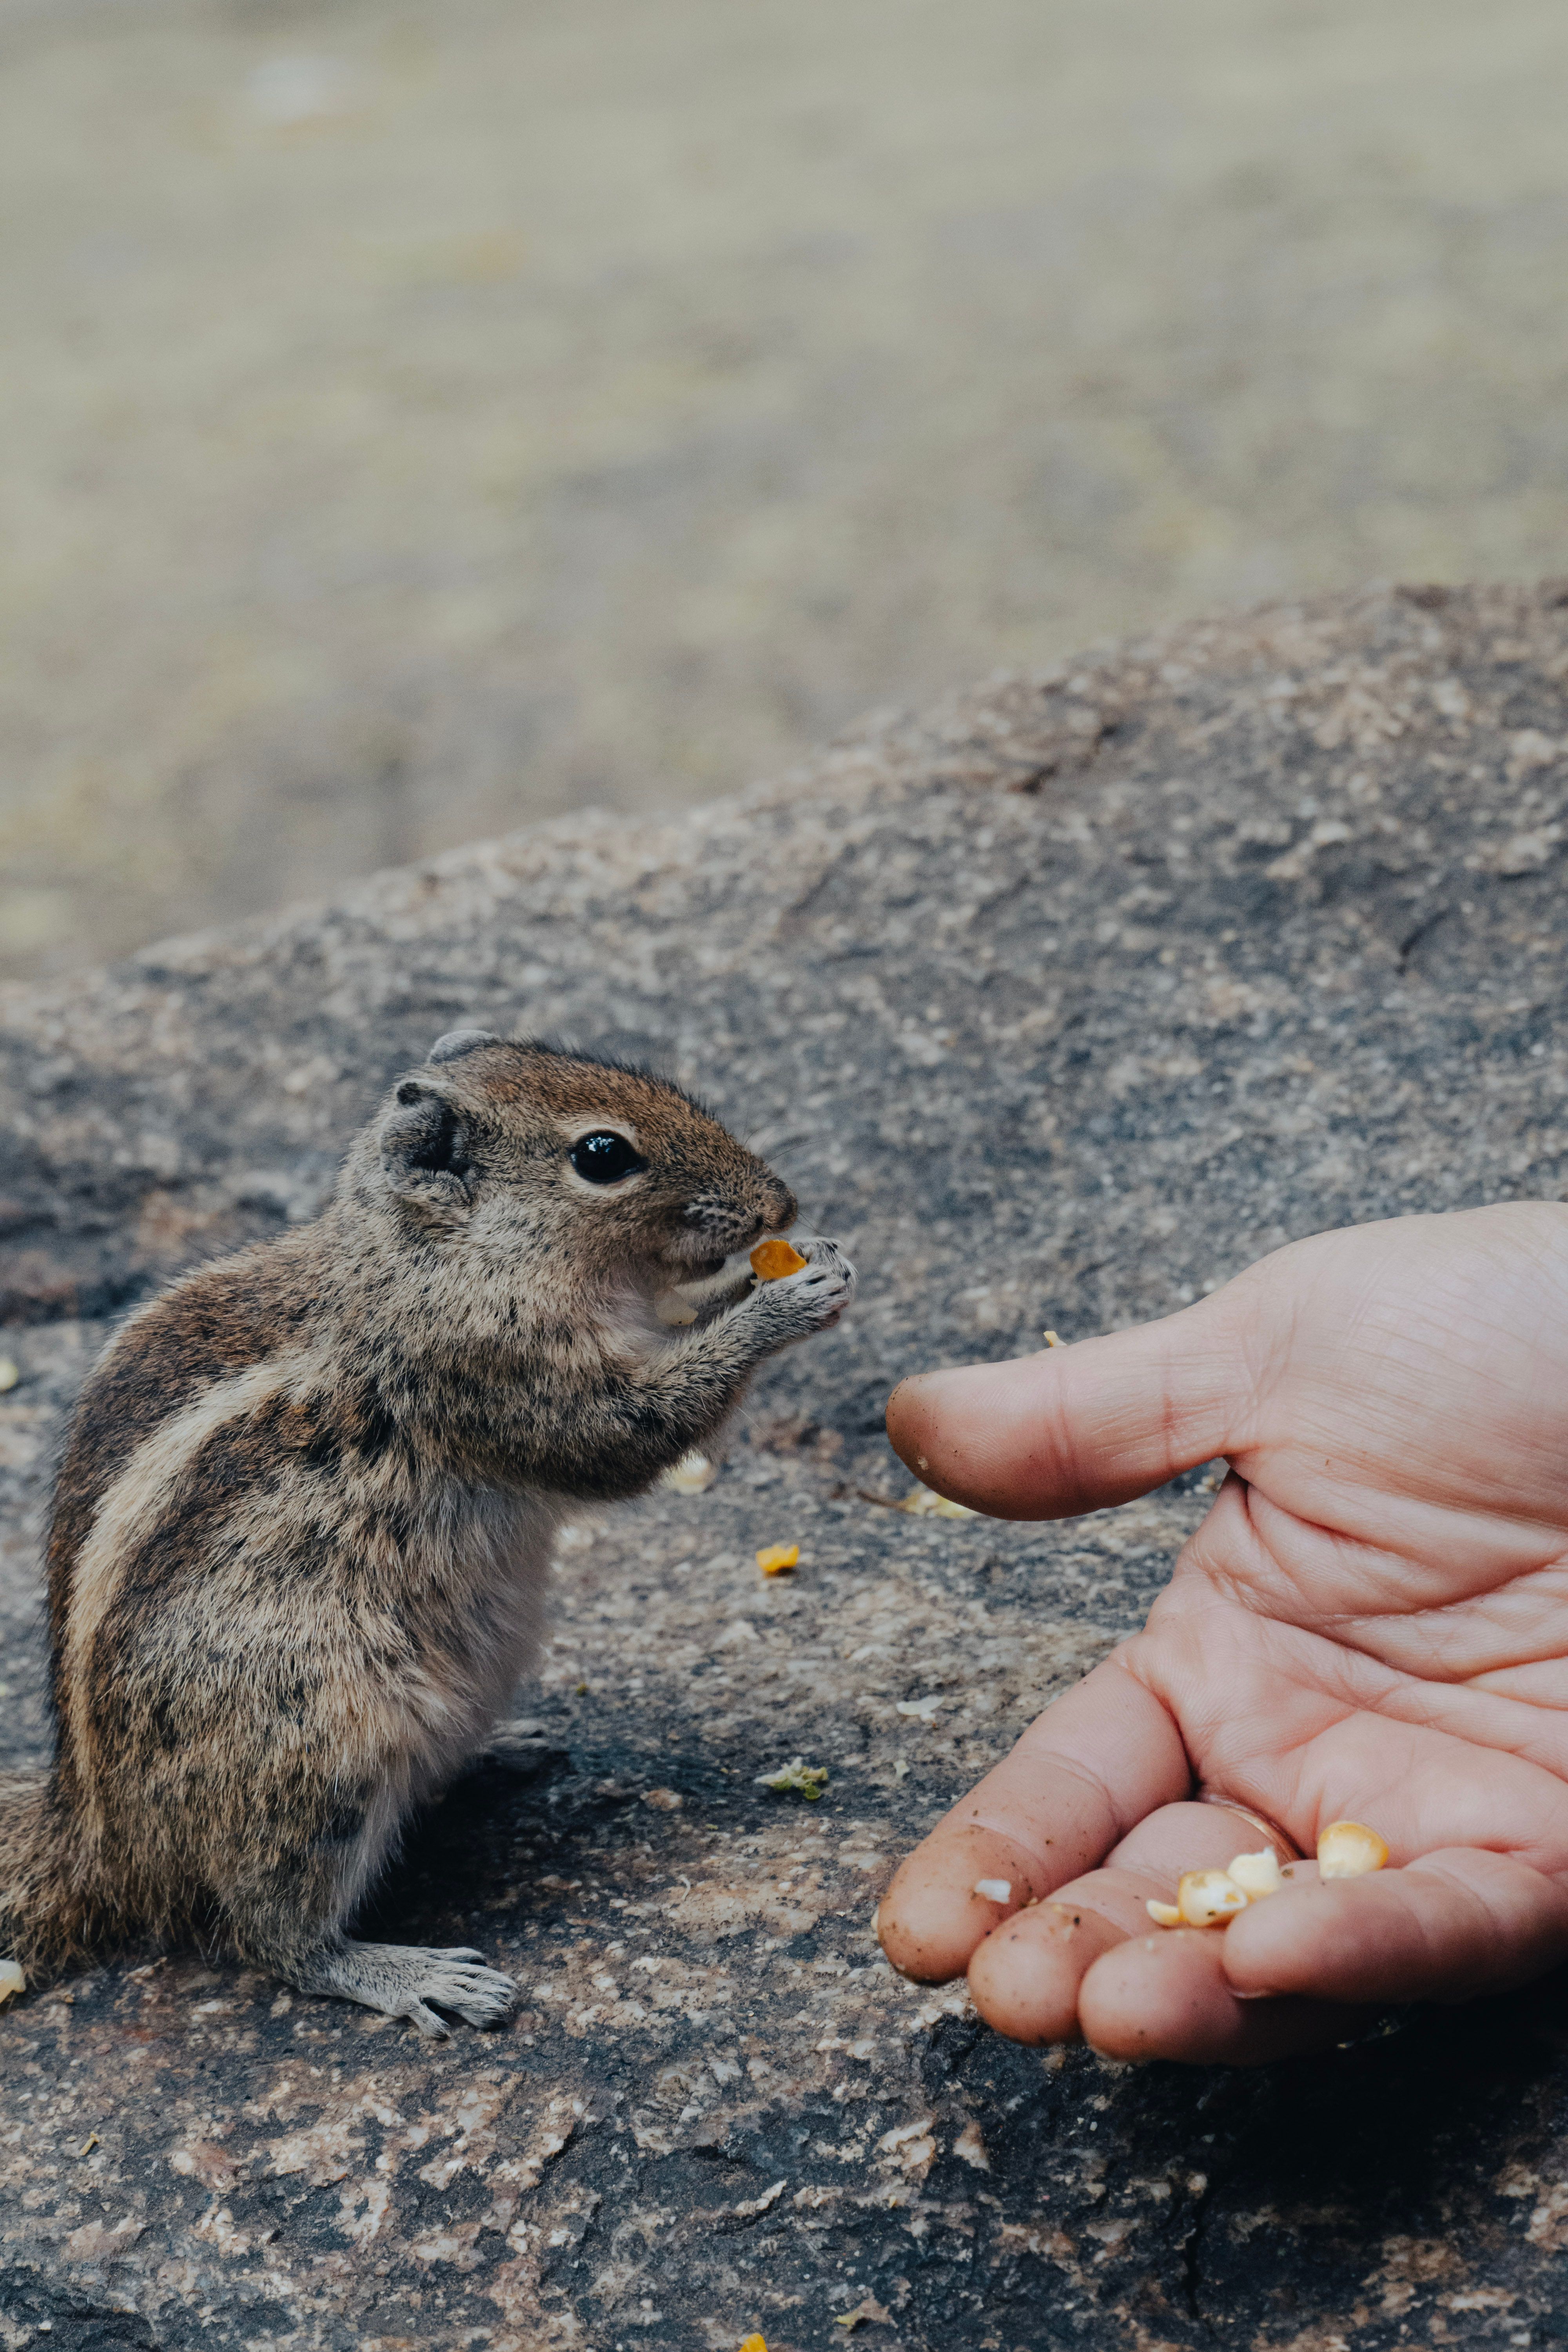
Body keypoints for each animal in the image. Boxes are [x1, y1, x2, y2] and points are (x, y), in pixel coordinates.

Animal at [0, 1032, 854, 2036]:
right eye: (603, 1156)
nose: (780, 1205)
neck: (431, 1253)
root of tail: (98, 1841)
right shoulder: (497, 1372)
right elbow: (629, 1431)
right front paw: (784, 1299)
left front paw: (776, 1265)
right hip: (314, 1747)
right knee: (270, 1935)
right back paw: (406, 1973)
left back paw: (507, 1753)